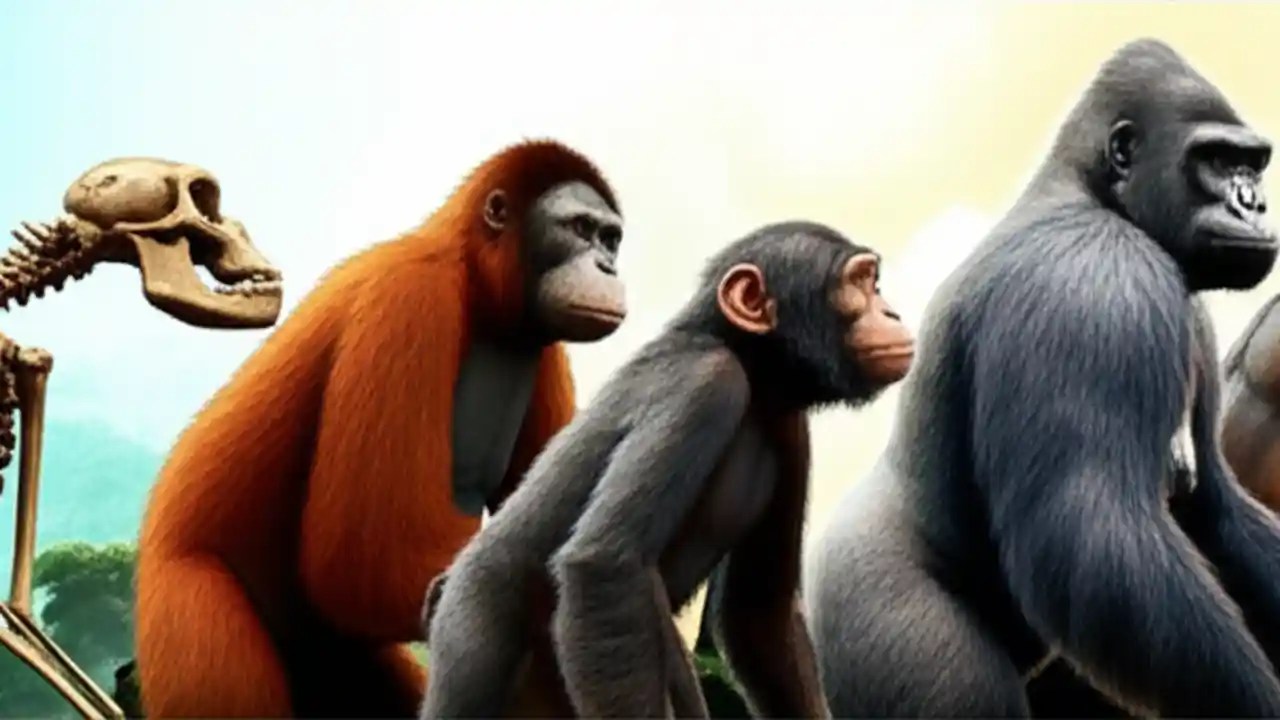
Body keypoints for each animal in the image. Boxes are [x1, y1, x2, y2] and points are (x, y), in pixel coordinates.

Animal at [134, 140, 626, 718]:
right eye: (580, 228)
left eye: (610, 239)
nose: (607, 266)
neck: (477, 284)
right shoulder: (409, 300)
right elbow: (358, 563)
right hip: (186, 607)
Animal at [421, 221, 915, 719]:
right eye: (859, 283)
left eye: (873, 283)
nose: (890, 310)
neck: (749, 366)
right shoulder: (702, 385)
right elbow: (605, 564)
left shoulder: (789, 426)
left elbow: (761, 611)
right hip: (472, 644)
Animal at [803, 39, 1280, 717]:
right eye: (1214, 160)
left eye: (1252, 164)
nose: (1254, 203)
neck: (1089, 187)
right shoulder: (1092, 280)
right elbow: (1092, 537)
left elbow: (1216, 502)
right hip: (878, 613)